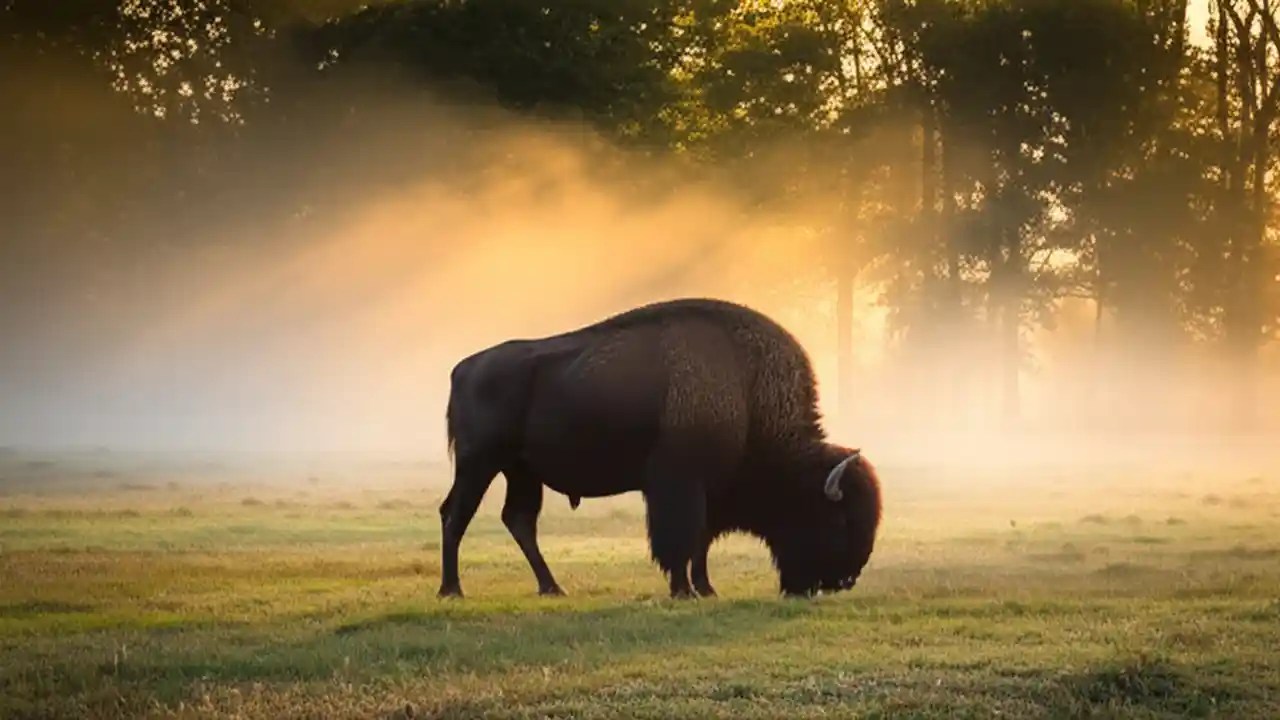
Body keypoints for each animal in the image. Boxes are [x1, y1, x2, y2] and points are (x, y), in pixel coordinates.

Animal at [438, 298, 882, 599]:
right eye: (839, 518)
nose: (845, 579)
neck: (747, 389)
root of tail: (463, 368)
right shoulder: (679, 485)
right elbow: (680, 539)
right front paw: (683, 590)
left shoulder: (710, 491)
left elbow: (701, 540)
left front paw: (705, 588)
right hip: (479, 463)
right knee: (455, 514)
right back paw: (452, 589)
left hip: (522, 471)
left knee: (519, 520)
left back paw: (552, 587)